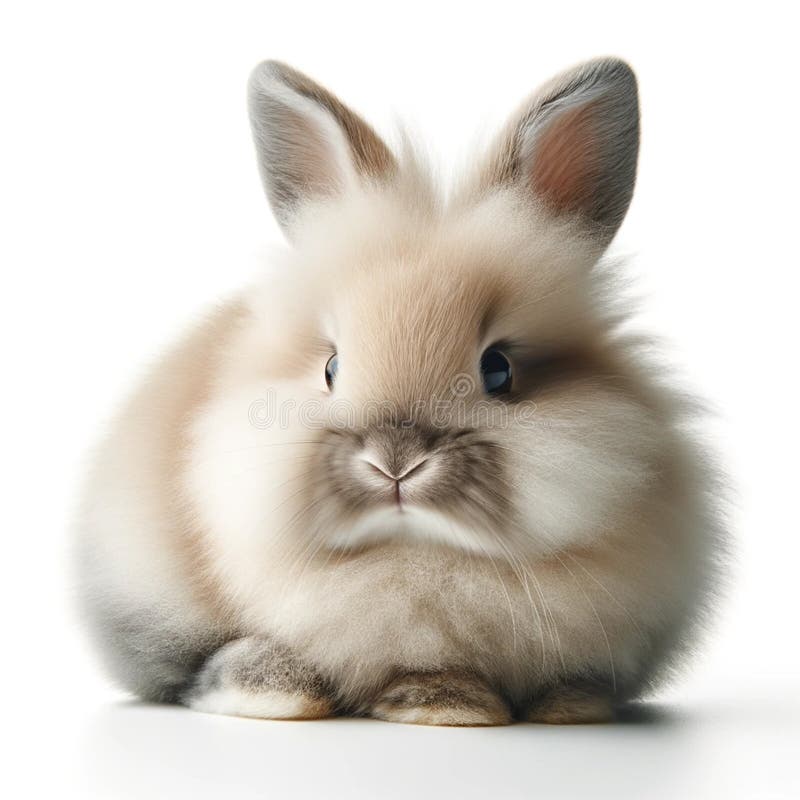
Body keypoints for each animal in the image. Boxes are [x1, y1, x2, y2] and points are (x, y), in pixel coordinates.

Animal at [75, 58, 722, 726]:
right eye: (332, 366)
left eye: (498, 370)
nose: (395, 463)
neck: (418, 558)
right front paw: (442, 705)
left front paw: (562, 704)